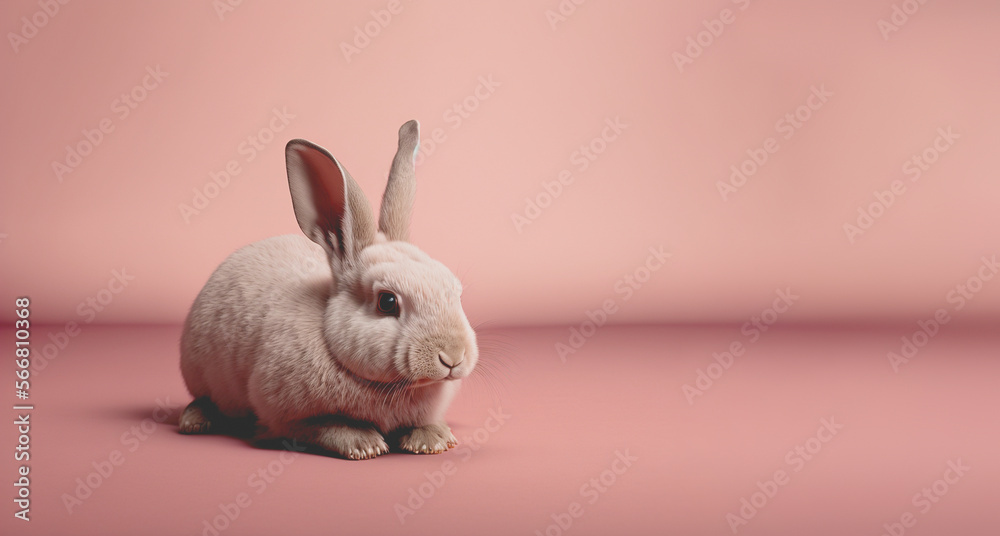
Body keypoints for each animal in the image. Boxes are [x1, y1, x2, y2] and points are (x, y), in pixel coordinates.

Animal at [178, 120, 478, 460]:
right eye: (387, 302)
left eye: (456, 293)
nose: (453, 356)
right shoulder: (279, 414)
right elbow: (319, 426)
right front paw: (364, 443)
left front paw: (433, 439)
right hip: (199, 370)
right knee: (204, 398)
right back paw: (194, 421)